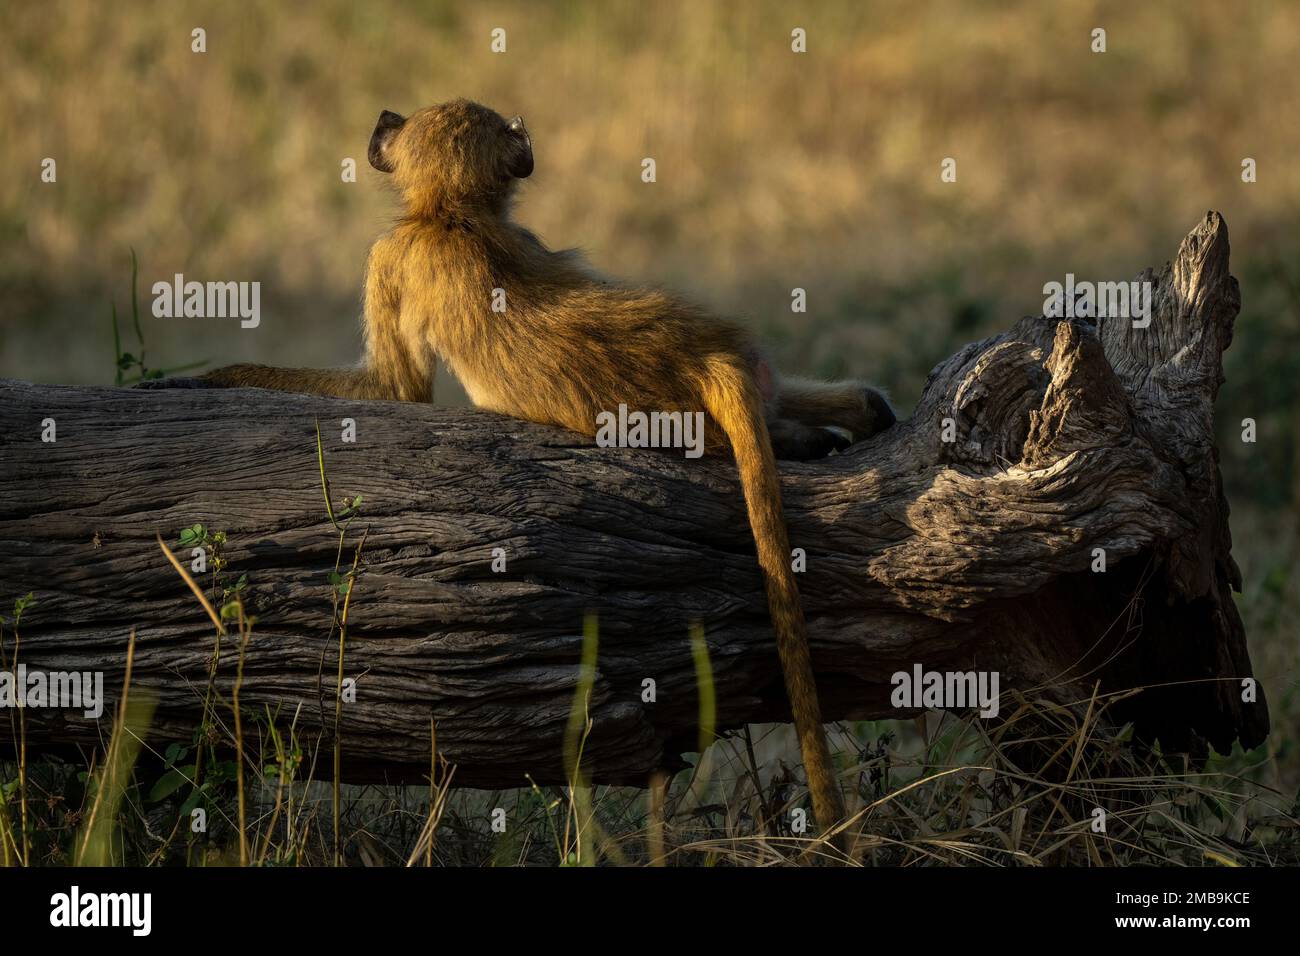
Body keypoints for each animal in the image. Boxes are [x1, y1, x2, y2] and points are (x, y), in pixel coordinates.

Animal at [170, 100, 896, 841]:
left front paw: (214, 377)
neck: (450, 213)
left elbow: (394, 390)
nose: (384, 117)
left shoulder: (389, 256)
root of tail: (708, 357)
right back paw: (847, 419)